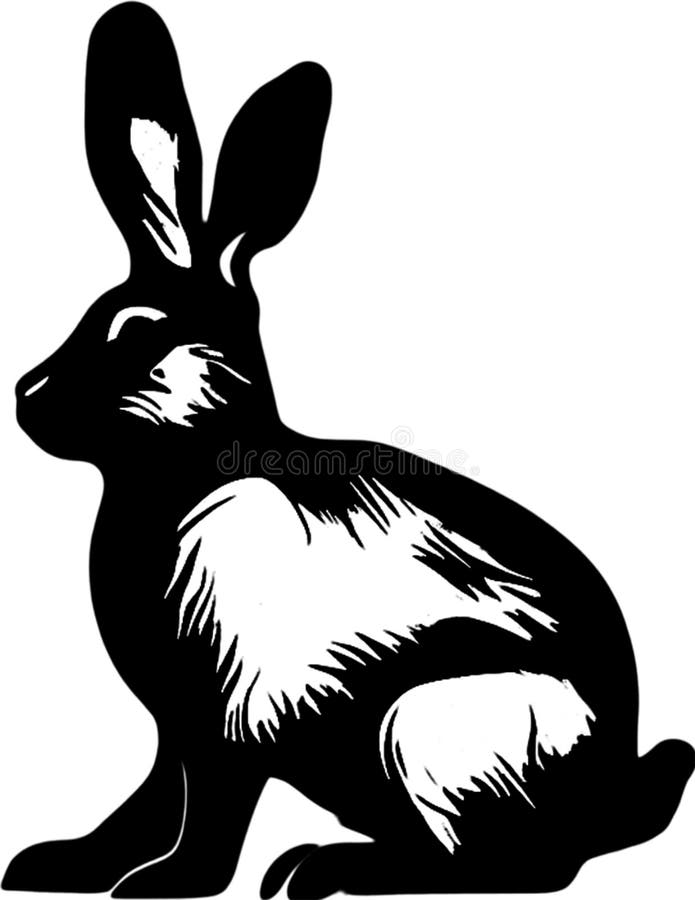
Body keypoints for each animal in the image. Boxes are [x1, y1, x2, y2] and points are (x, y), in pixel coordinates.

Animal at [3, 3, 693, 899]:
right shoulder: (172, 728)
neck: (188, 473)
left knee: (515, 867)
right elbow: (148, 802)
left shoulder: (229, 722)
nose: (25, 397)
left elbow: (210, 815)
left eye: (137, 333)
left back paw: (321, 869)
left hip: (427, 729)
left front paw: (166, 884)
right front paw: (64, 862)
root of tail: (605, 798)